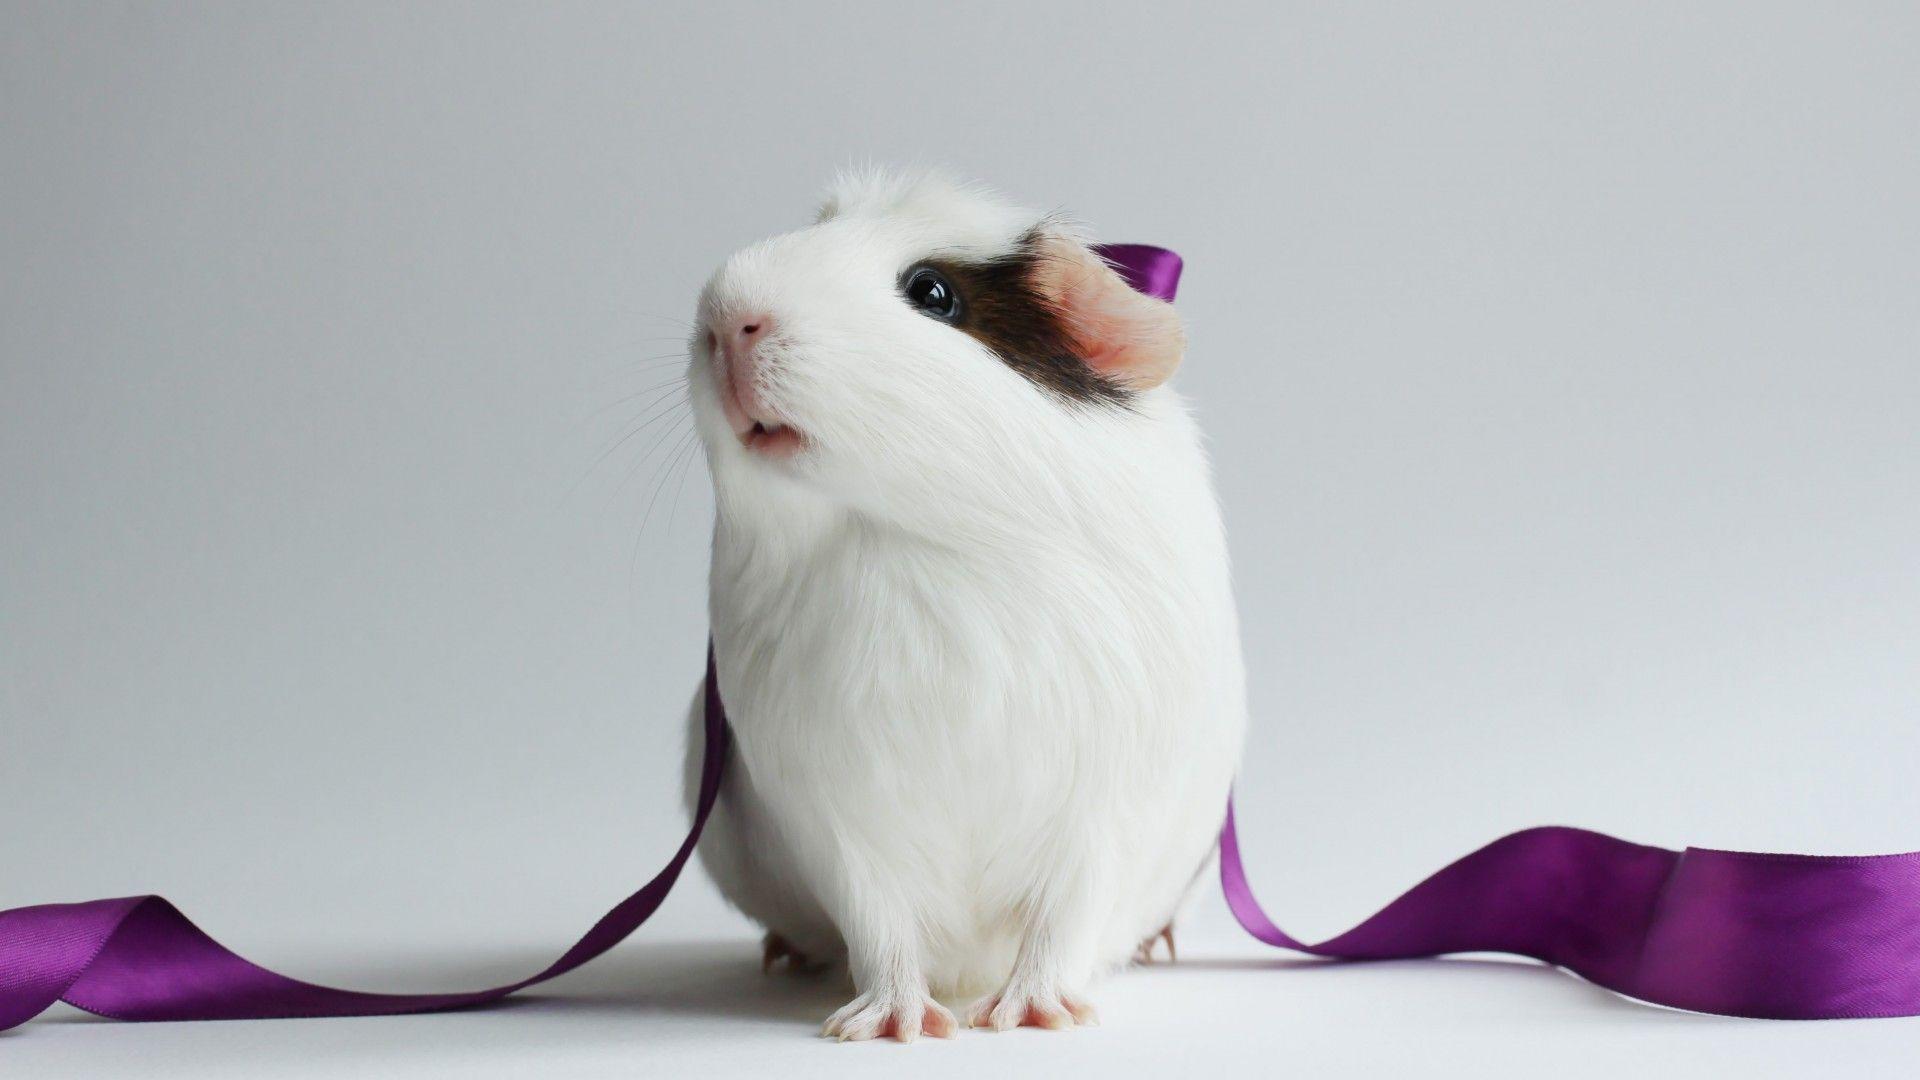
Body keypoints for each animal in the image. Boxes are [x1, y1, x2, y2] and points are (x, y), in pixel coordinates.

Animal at [678, 170, 1246, 1041]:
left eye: (933, 293)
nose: (724, 316)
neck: (914, 544)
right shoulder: (841, 818)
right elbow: (881, 929)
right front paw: (890, 1026)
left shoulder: (1099, 814)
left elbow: (1061, 922)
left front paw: (1032, 1017)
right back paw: (787, 955)